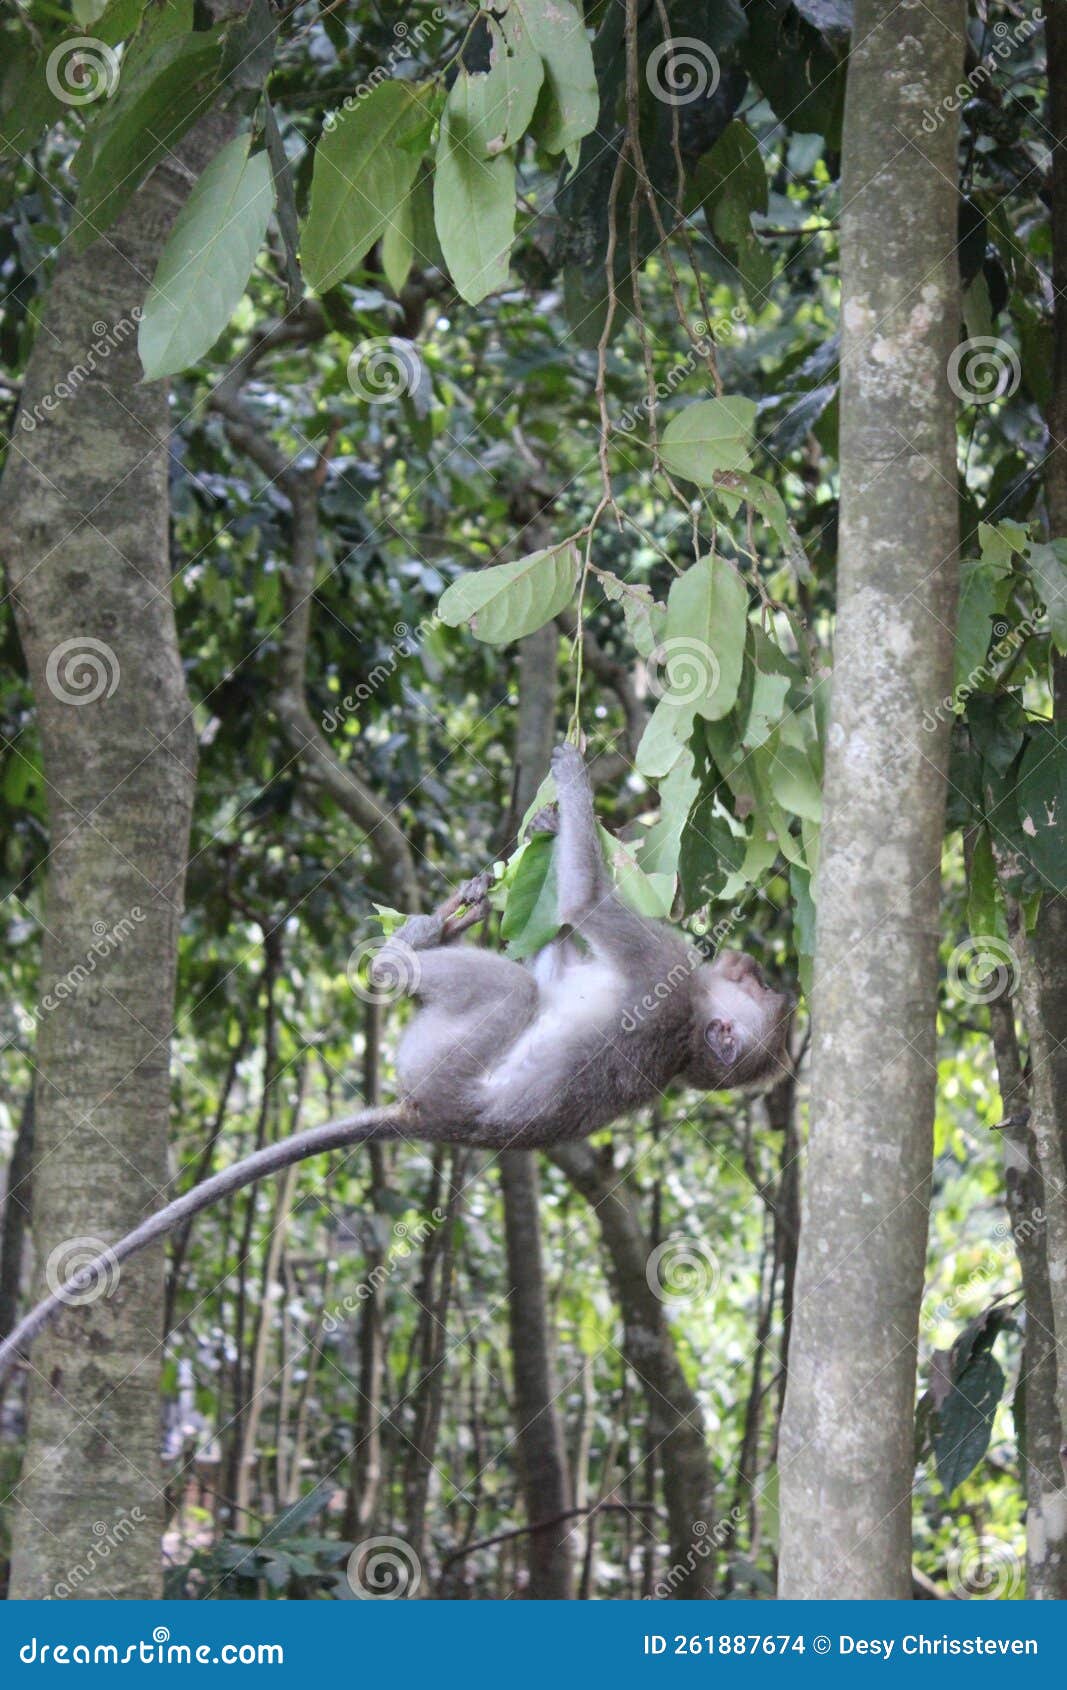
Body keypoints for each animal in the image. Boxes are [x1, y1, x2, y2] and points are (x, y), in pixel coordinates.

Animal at [0, 744, 790, 1384]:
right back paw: (448, 918)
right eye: (760, 984)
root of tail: (426, 1115)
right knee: (525, 985)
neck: (686, 1035)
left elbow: (585, 901)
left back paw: (395, 955)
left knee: (510, 991)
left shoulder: (664, 966)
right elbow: (557, 944)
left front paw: (569, 783)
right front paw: (549, 824)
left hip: (440, 1062)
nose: (758, 968)